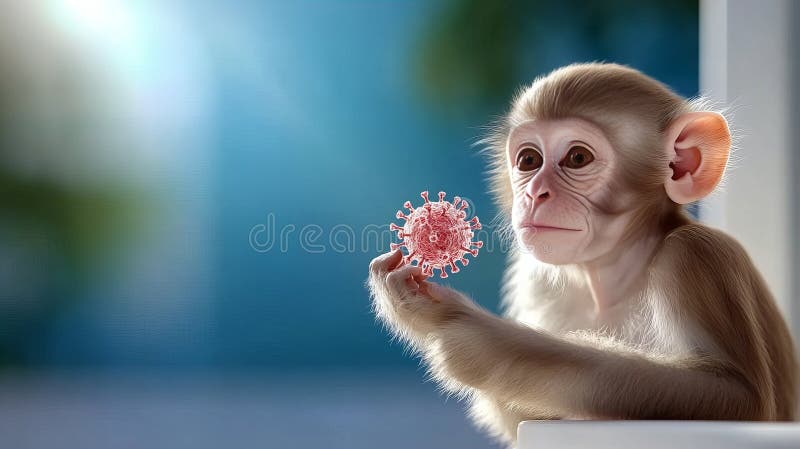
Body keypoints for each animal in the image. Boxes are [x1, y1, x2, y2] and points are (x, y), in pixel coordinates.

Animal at [367, 63, 798, 447]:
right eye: (528, 160)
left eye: (577, 158)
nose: (534, 193)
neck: (616, 270)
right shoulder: (536, 279)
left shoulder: (694, 257)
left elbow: (736, 393)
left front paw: (464, 331)